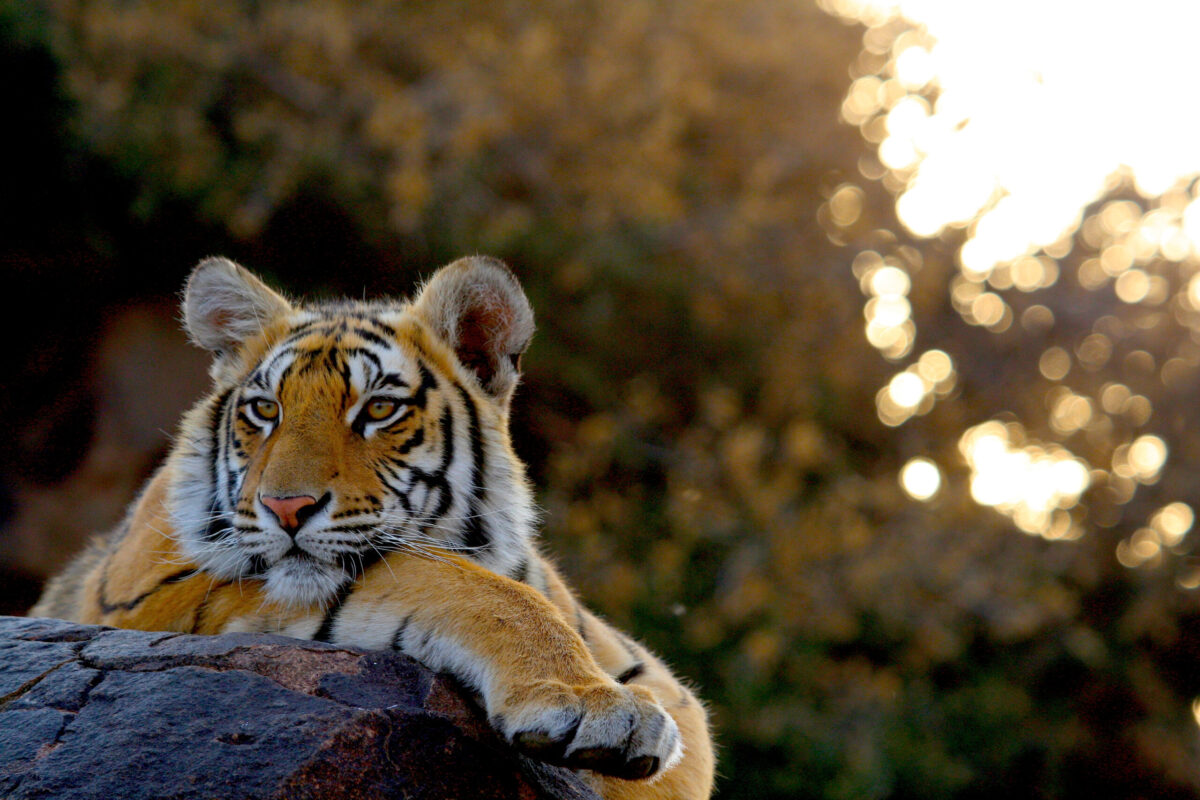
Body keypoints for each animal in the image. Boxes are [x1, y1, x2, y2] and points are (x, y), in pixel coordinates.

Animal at [31, 255, 714, 800]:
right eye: (265, 410)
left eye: (379, 409)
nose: (285, 507)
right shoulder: (151, 589)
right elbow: (455, 583)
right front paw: (594, 706)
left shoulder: (675, 698)